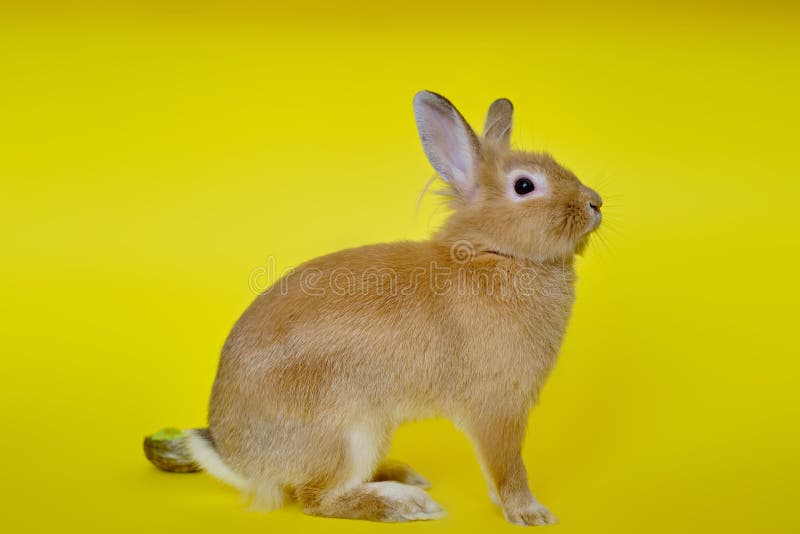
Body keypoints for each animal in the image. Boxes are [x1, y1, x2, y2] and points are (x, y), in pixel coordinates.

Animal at [146, 90, 603, 526]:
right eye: (525, 186)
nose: (595, 203)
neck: (495, 252)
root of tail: (237, 457)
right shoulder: (498, 404)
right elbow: (506, 466)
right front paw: (530, 513)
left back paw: (402, 476)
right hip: (349, 432)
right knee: (316, 498)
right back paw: (404, 504)